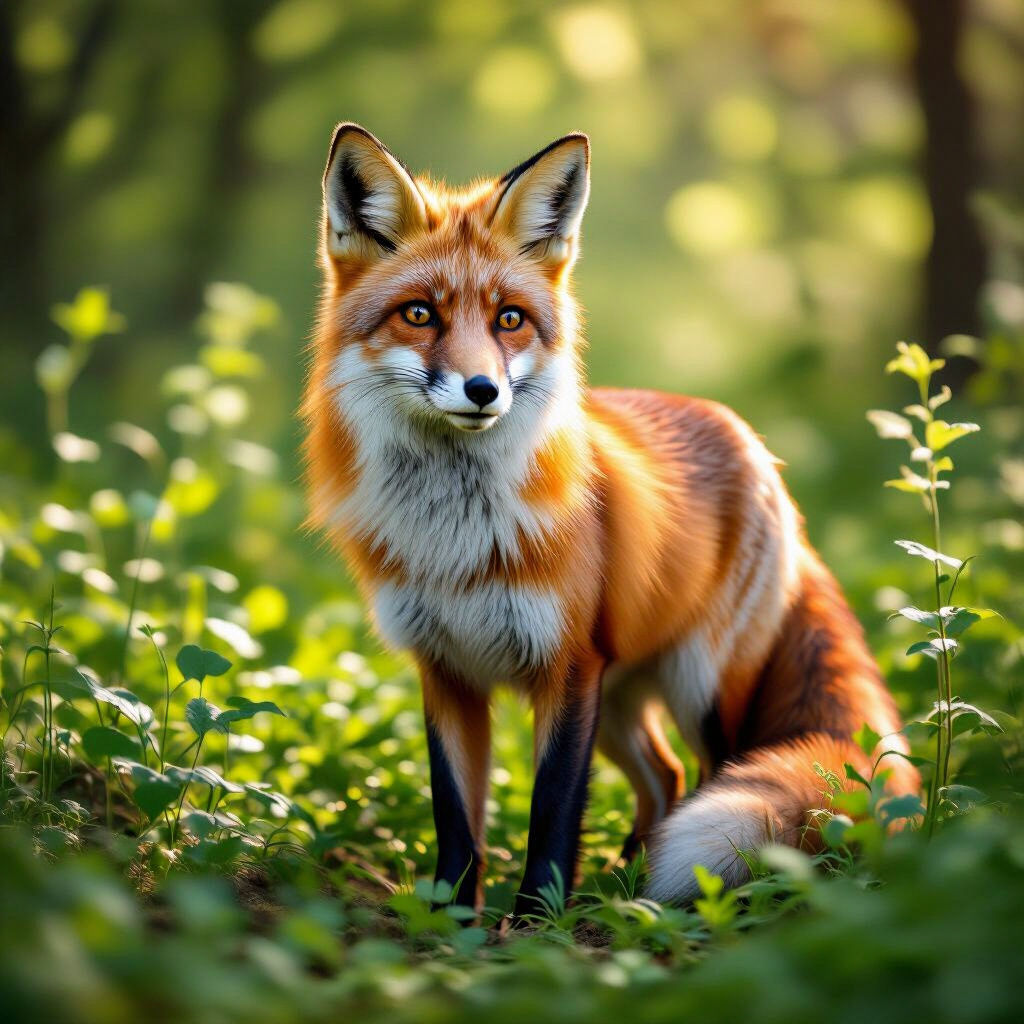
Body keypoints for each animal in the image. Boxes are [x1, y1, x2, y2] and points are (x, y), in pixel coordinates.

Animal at [302, 123, 920, 917]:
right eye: (419, 313)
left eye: (509, 319)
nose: (483, 390)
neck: (456, 538)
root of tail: (755, 448)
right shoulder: (446, 669)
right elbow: (456, 821)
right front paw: (448, 919)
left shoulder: (569, 666)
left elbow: (552, 812)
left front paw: (536, 921)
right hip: (623, 699)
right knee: (665, 778)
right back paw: (629, 880)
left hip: (702, 688)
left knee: (713, 775)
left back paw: (685, 898)